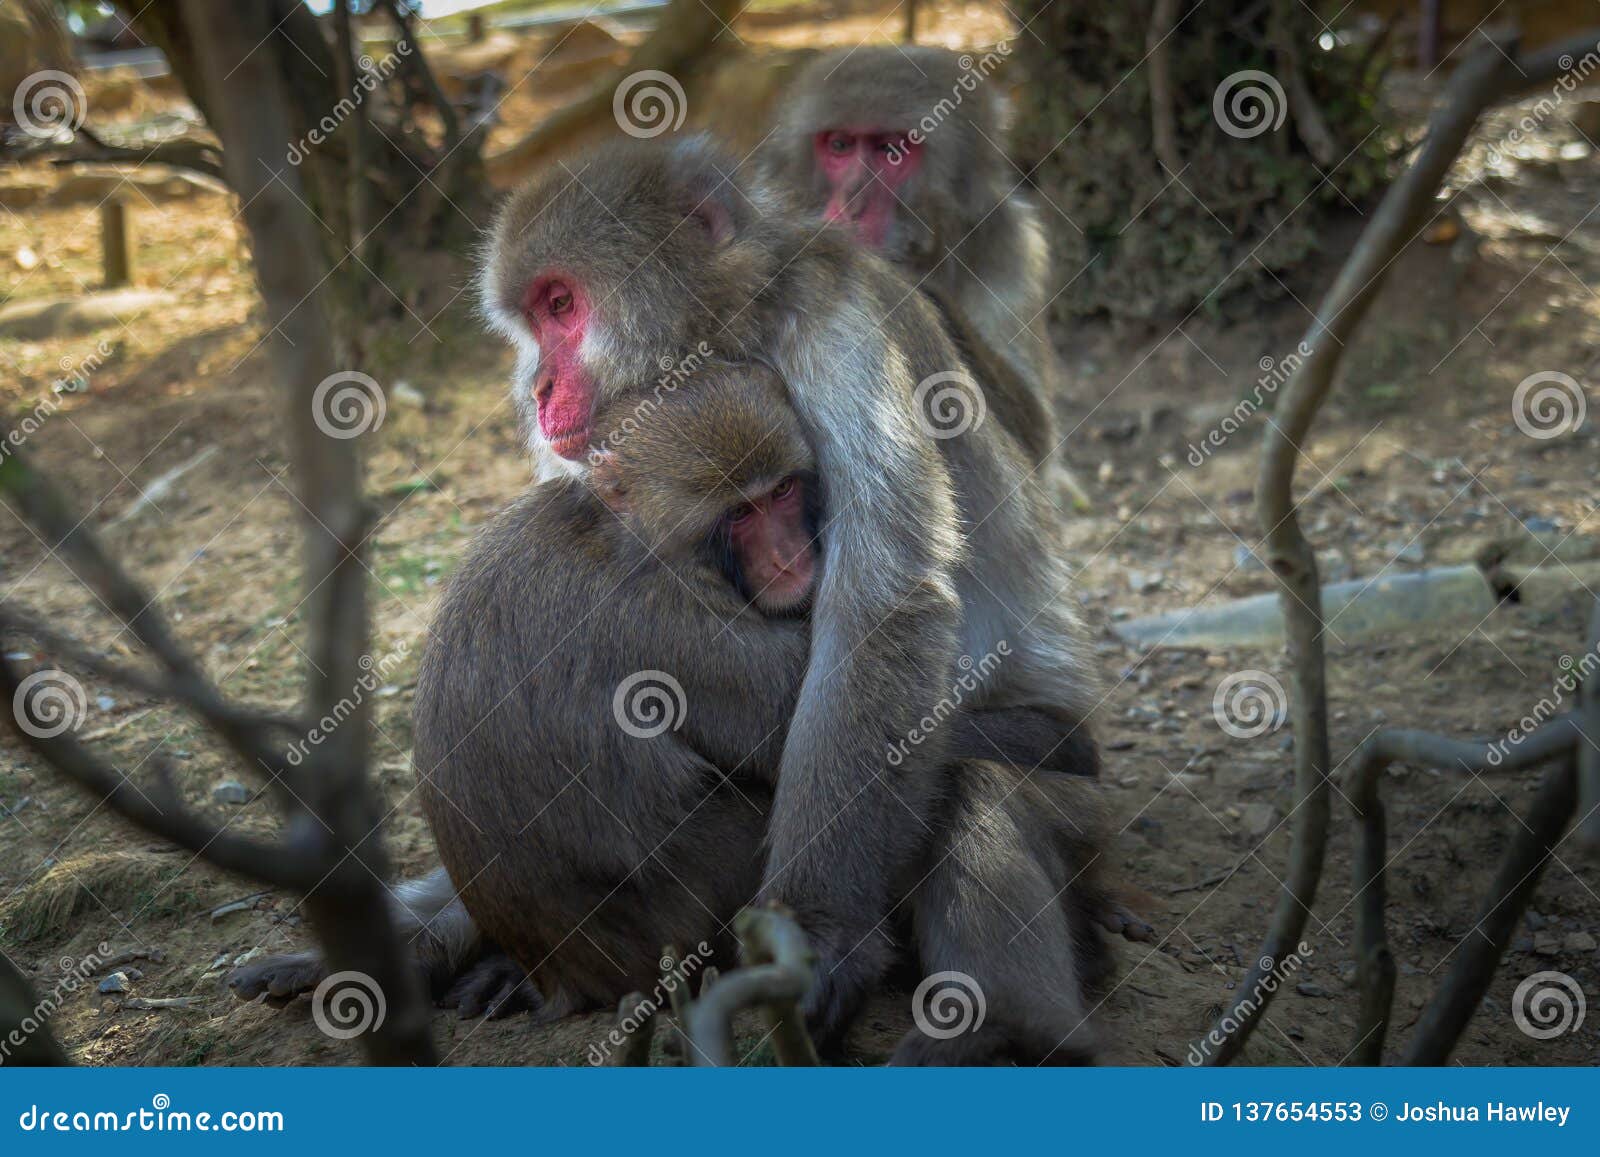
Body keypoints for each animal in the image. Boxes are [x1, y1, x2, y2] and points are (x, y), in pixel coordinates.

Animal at [230, 364, 1107, 1063]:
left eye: (784, 491)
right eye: (741, 513)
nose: (794, 556)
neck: (628, 531)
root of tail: (571, 973)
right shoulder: (681, 627)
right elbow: (897, 732)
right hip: (706, 920)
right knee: (948, 776)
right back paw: (1005, 1025)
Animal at [477, 136, 1098, 1051]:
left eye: (562, 305)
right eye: (530, 319)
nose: (538, 389)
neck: (735, 330)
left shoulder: (837, 325)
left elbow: (884, 601)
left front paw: (817, 937)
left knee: (975, 779)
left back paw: (1008, 1029)